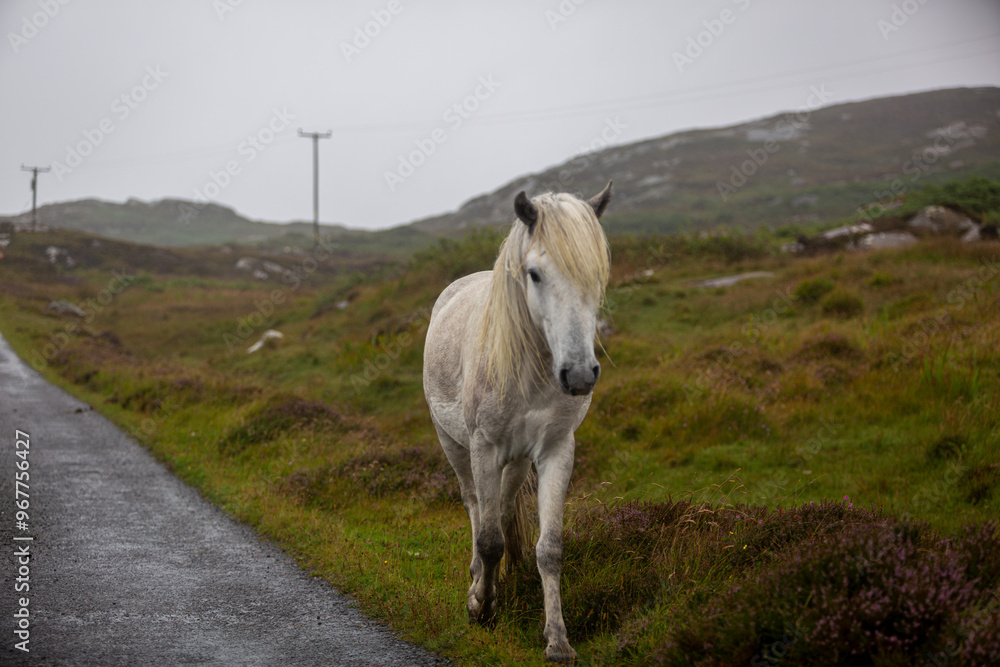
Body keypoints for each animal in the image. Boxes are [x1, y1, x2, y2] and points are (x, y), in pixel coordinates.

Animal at [423, 182, 613, 662]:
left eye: (597, 274)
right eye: (535, 274)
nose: (579, 374)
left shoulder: (556, 450)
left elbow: (551, 546)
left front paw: (557, 639)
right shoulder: (484, 447)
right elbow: (489, 537)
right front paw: (481, 607)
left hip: (517, 461)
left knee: (504, 509)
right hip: (455, 446)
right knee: (475, 507)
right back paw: (477, 578)